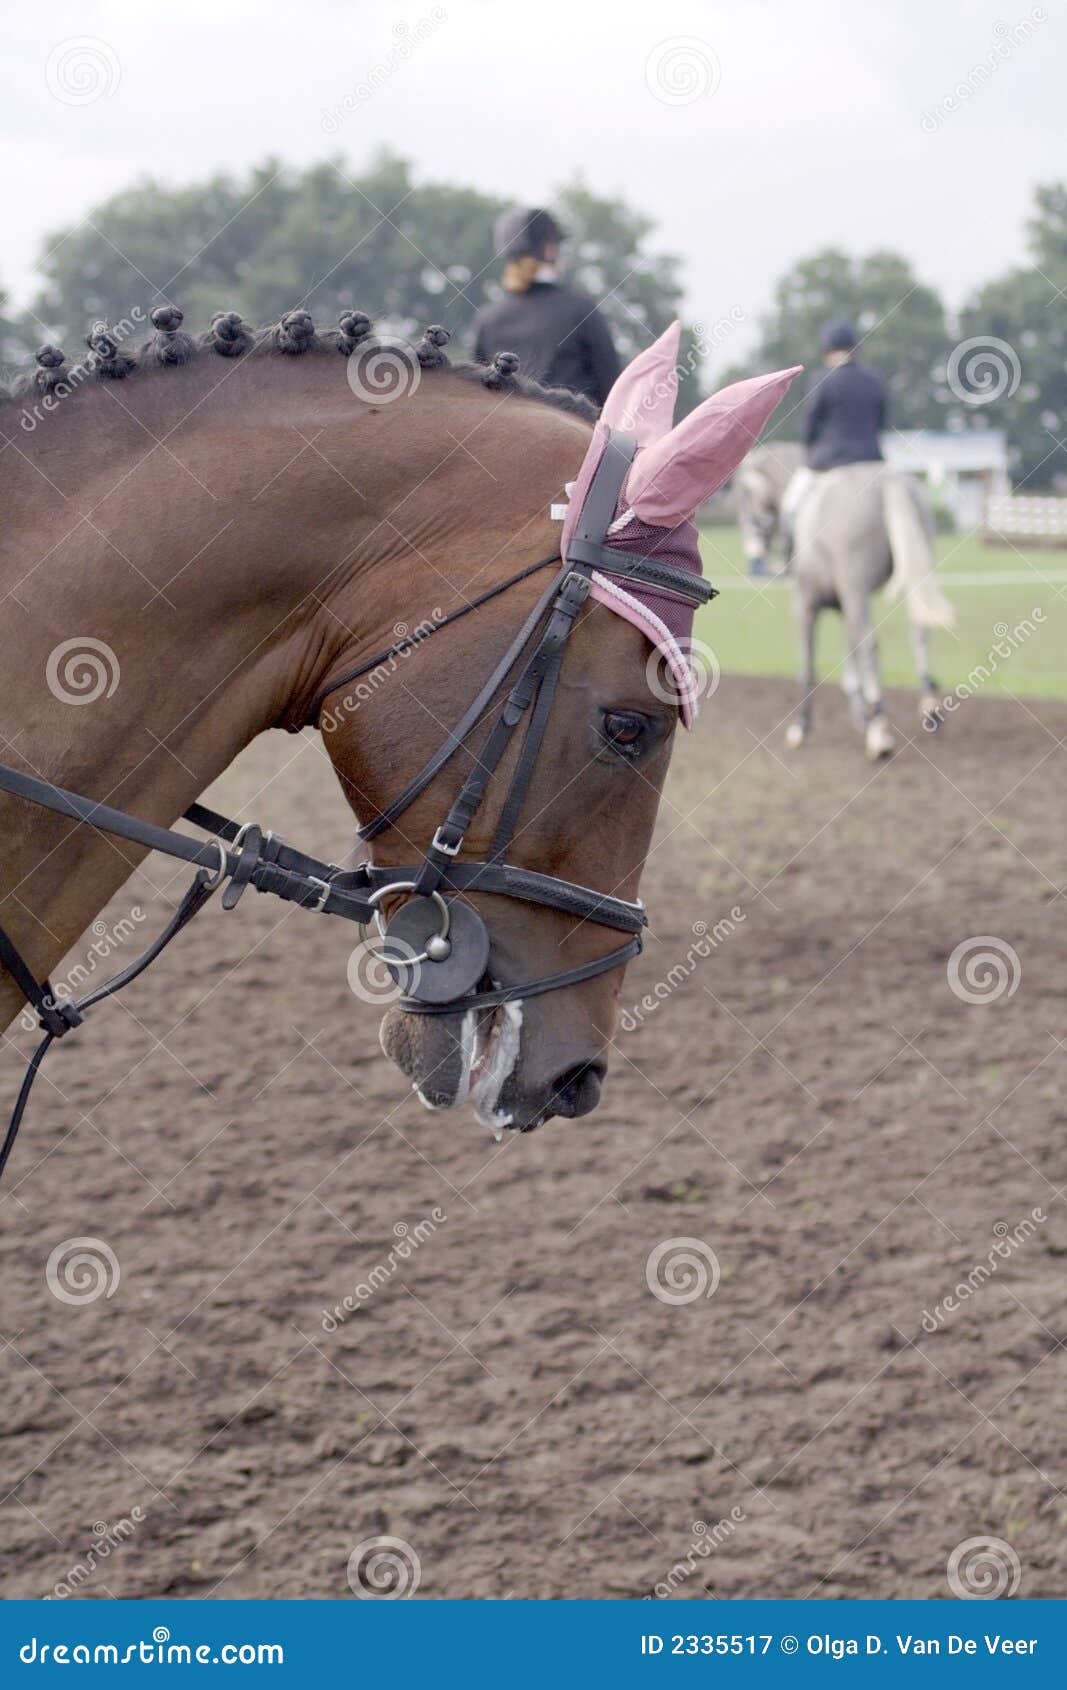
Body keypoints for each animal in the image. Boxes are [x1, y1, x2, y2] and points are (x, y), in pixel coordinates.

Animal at [785, 463, 954, 759]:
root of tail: (886, 481)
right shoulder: (848, 607)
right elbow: (850, 655)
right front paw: (859, 710)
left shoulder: (806, 605)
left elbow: (808, 664)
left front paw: (801, 726)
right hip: (911, 575)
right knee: (920, 631)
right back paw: (928, 705)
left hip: (855, 587)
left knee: (870, 645)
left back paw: (878, 732)